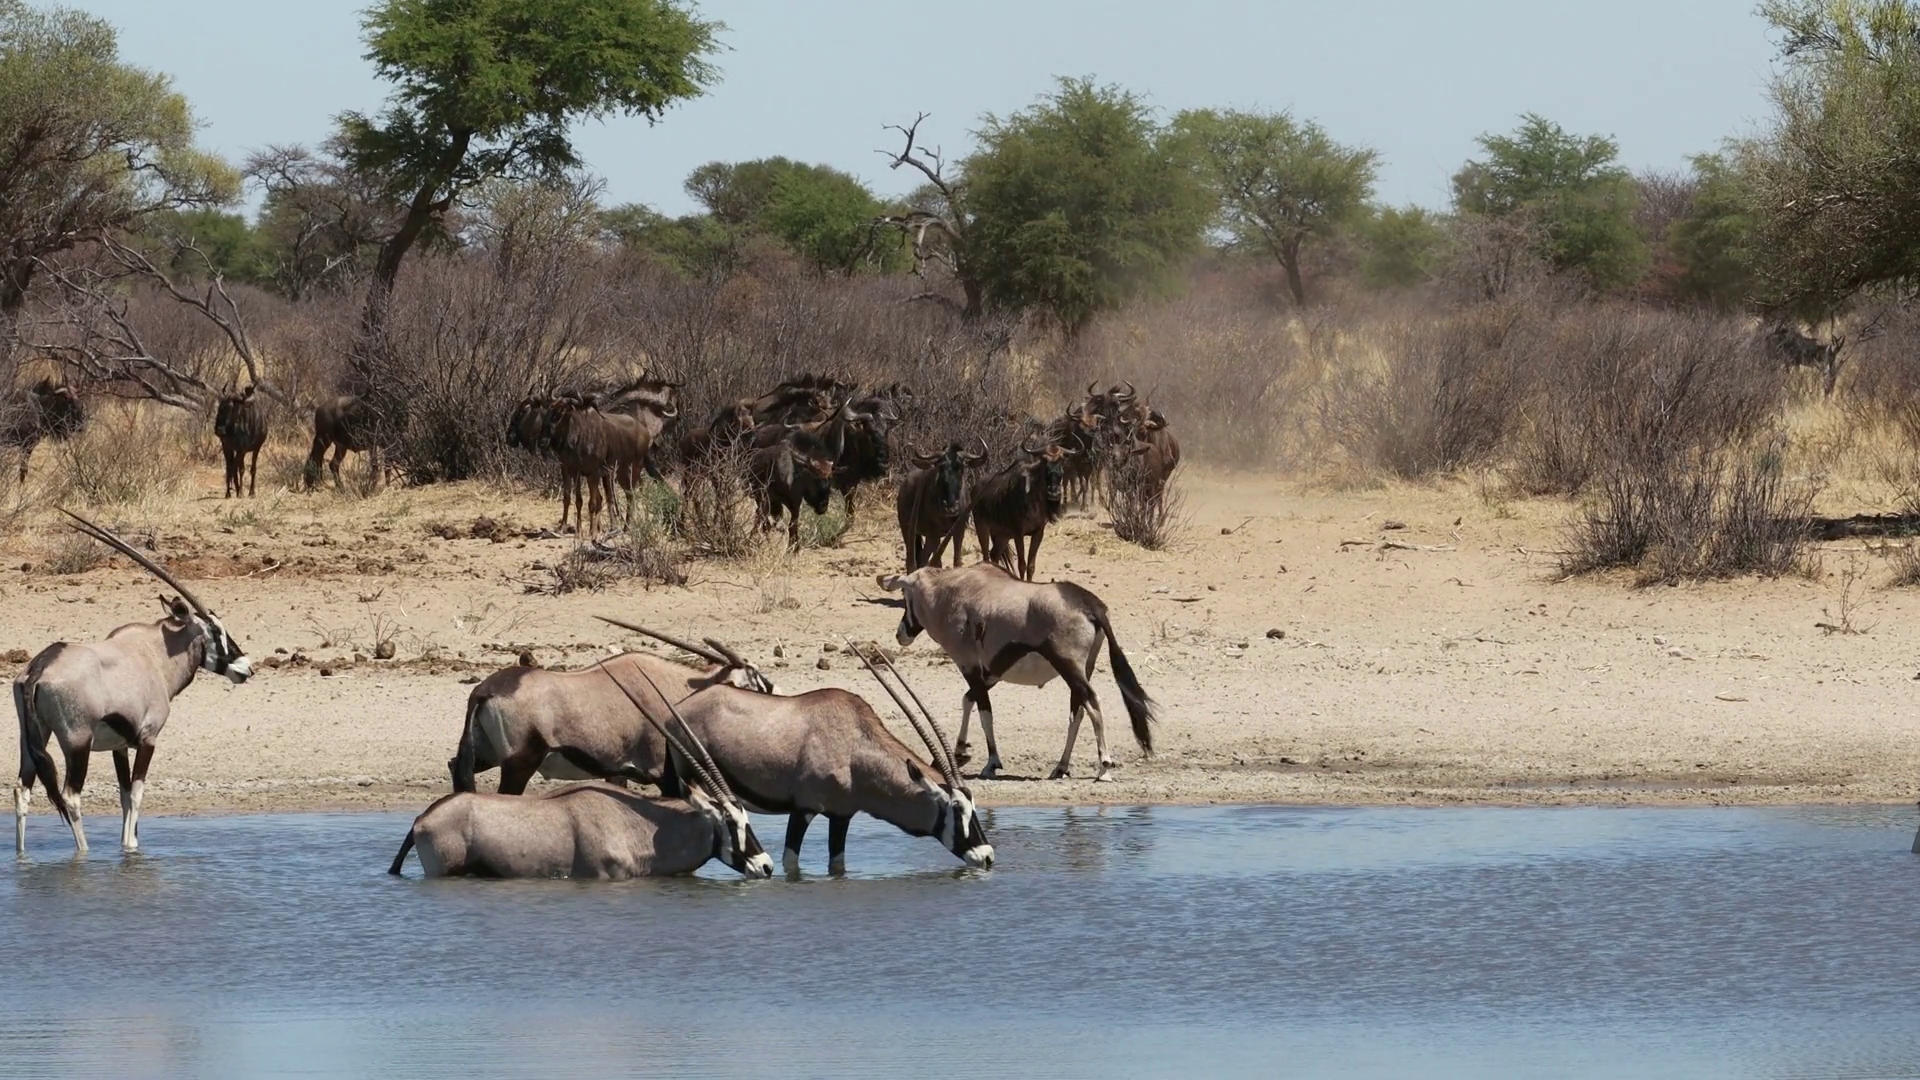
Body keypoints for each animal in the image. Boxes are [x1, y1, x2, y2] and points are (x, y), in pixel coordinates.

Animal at [15, 512, 254, 854]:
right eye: (216, 631)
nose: (245, 667)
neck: (156, 654)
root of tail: (40, 667)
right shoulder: (147, 738)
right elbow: (138, 793)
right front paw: (130, 846)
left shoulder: (120, 746)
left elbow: (125, 795)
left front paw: (128, 848)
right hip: (76, 742)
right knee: (71, 796)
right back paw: (83, 853)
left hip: (33, 737)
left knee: (22, 789)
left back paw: (21, 856)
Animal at [451, 621, 775, 795]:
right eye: (756, 681)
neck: (676, 689)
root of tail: (485, 690)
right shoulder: (664, 775)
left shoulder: (619, 771)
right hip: (518, 765)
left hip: (485, 755)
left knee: (457, 769)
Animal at [661, 650, 994, 875]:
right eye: (956, 809)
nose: (988, 856)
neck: (855, 748)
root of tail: (677, 711)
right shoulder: (804, 809)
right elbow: (791, 862)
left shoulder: (841, 815)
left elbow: (837, 867)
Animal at [877, 562, 1155, 783]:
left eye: (904, 593)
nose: (900, 634)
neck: (949, 593)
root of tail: (1090, 606)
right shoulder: (990, 673)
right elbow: (968, 700)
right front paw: (961, 750)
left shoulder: (969, 665)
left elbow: (984, 712)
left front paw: (991, 763)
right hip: (1081, 670)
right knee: (1077, 711)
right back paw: (1060, 767)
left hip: (1070, 667)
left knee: (1093, 706)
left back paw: (1104, 767)